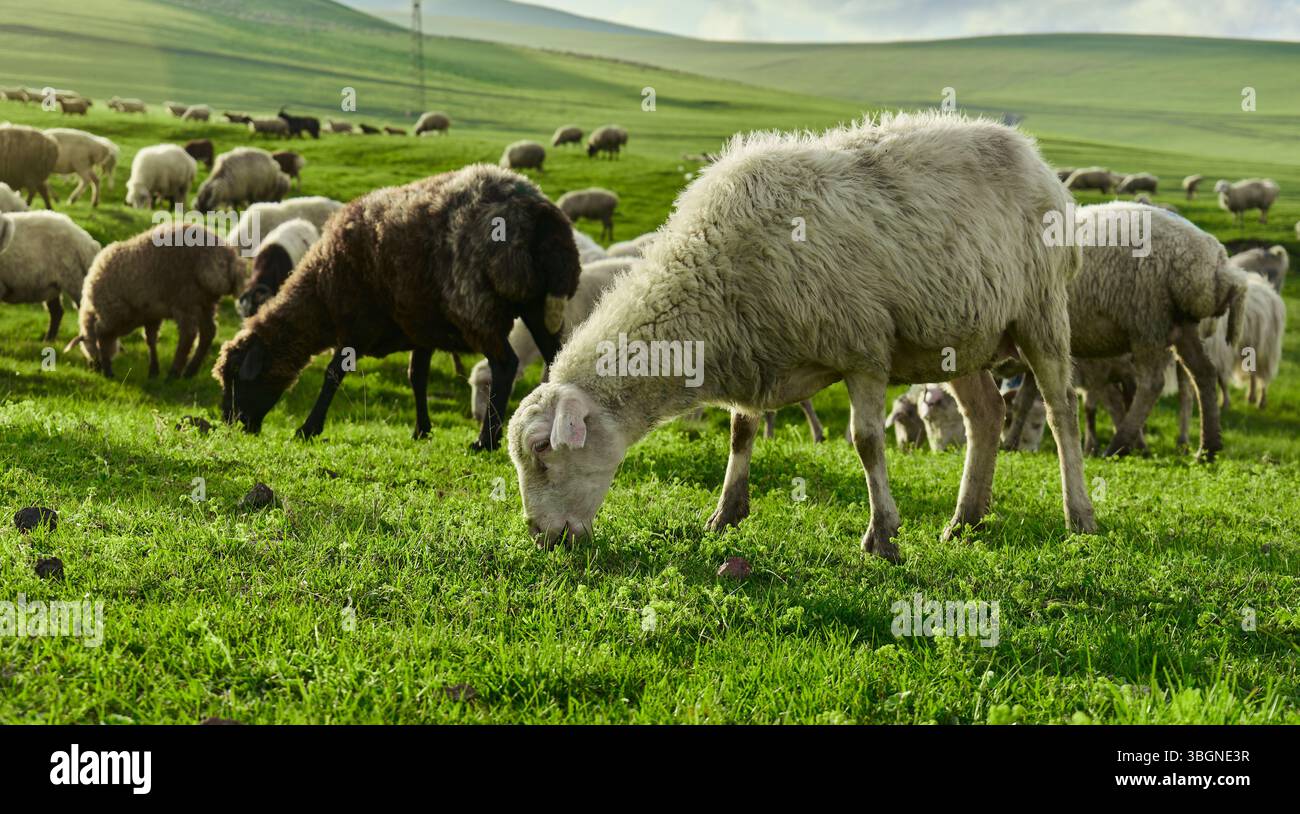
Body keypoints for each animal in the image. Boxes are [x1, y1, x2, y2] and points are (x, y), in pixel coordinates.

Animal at [66, 223, 244, 379]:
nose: (93, 368)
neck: (92, 309)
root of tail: (225, 256)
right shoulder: (151, 314)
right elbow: (150, 340)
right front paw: (153, 370)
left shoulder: (111, 313)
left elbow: (103, 338)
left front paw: (108, 370)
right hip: (206, 301)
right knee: (208, 332)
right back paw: (190, 371)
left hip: (185, 299)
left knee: (188, 335)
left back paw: (174, 373)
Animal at [213, 164, 581, 449]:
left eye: (236, 377)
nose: (232, 424)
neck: (320, 296)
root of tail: (540, 213)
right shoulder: (420, 327)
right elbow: (417, 376)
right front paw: (422, 430)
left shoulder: (356, 324)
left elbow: (333, 374)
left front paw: (308, 428)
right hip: (534, 304)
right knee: (555, 356)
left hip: (477, 307)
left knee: (504, 366)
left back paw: (484, 441)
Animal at [507, 112, 1098, 558]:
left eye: (541, 448)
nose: (540, 538)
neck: (710, 275)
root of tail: (1034, 156)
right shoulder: (751, 353)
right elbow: (740, 433)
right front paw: (726, 513)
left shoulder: (863, 349)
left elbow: (865, 441)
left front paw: (883, 536)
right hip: (958, 337)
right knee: (986, 415)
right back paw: (965, 520)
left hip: (1041, 311)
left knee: (1061, 410)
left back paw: (1079, 515)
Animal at [1003, 203, 1250, 462]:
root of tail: (1219, 265)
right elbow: (1024, 399)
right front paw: (1011, 442)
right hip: (1180, 324)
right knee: (1204, 373)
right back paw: (1207, 449)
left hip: (1147, 320)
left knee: (1152, 383)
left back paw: (1119, 445)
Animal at [1204, 276, 1286, 409]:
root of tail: (1267, 286)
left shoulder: (1220, 353)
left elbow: (1221, 380)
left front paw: (1224, 403)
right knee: (1253, 373)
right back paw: (1251, 397)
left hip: (1266, 350)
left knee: (1263, 376)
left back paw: (1261, 401)